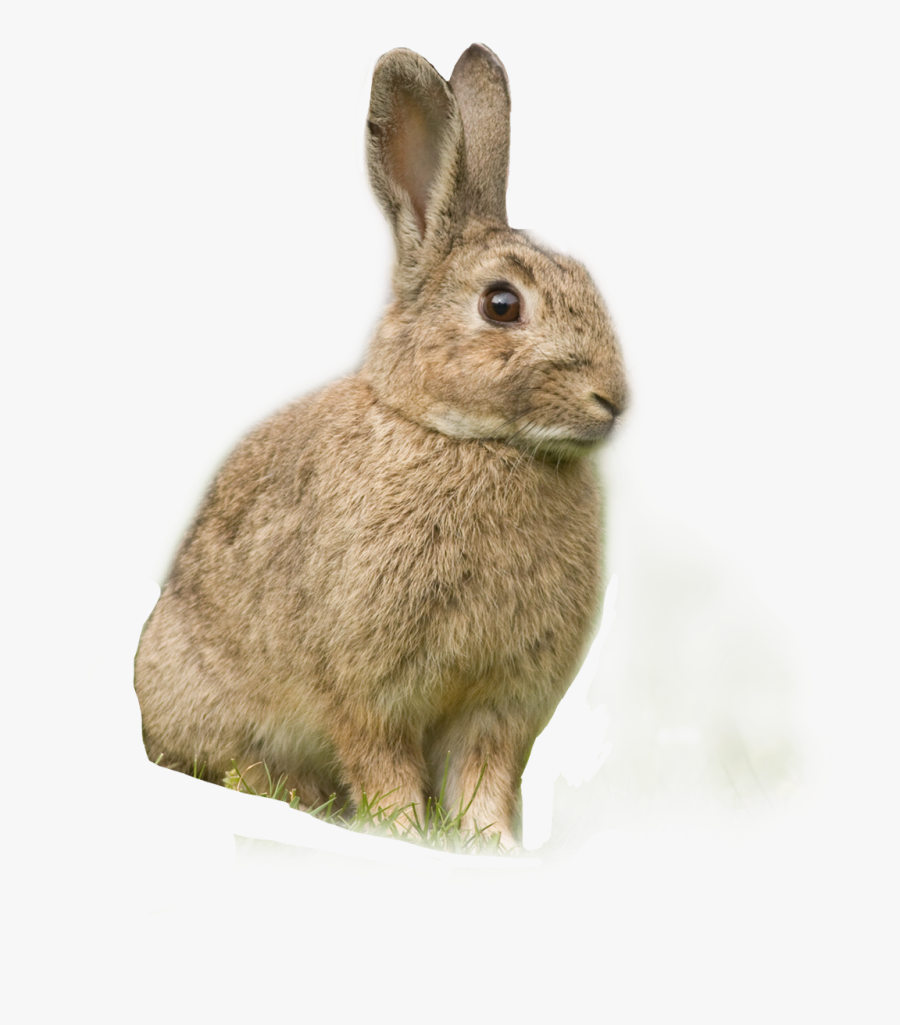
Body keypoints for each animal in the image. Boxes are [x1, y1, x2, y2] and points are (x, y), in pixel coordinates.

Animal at [134, 43, 629, 849]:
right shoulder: (369, 686)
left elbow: (485, 774)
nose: (613, 399)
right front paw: (402, 832)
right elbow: (382, 759)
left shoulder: (501, 703)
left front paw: (491, 844)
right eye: (502, 304)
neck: (469, 439)